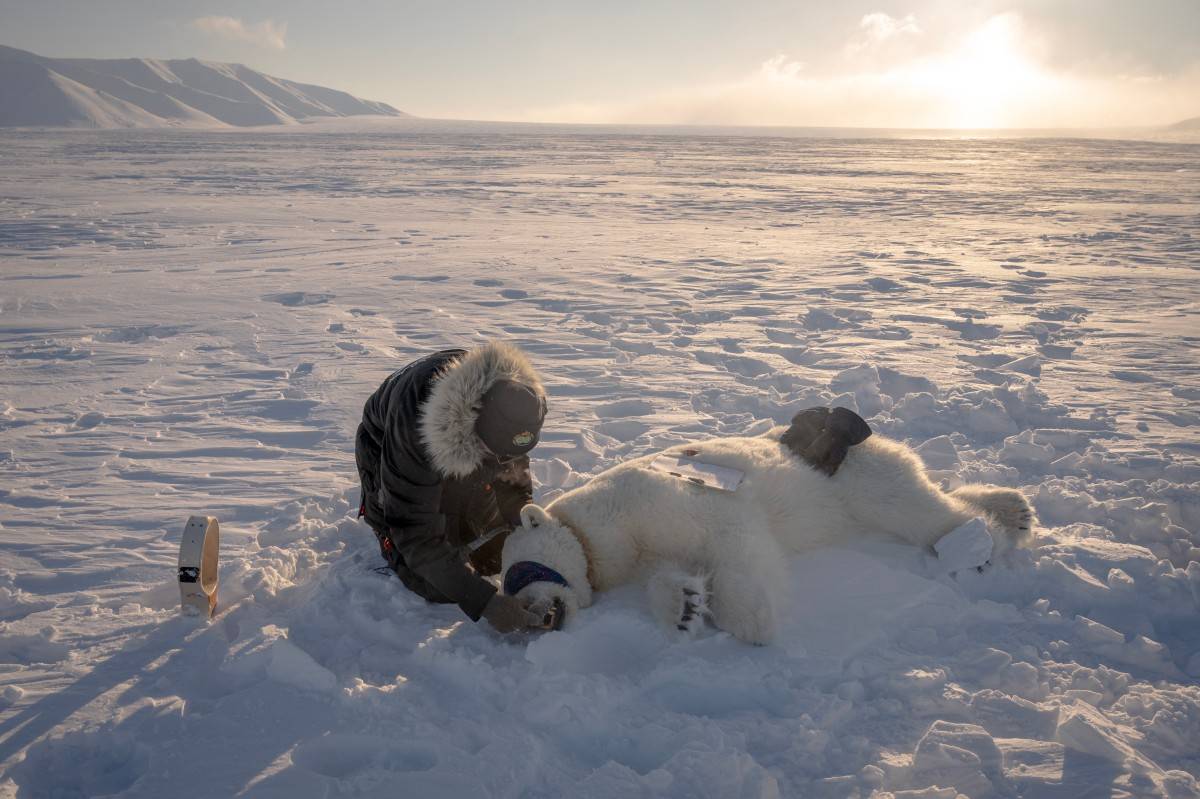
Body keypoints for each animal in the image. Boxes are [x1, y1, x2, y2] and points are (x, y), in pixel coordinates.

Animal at [500, 408, 1035, 645]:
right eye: (508, 586)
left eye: (515, 573)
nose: (538, 618)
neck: (599, 527)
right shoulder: (638, 549)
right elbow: (670, 572)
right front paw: (685, 608)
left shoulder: (657, 499)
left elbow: (735, 539)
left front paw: (750, 621)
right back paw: (1015, 509)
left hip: (852, 477)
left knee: (913, 508)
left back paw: (977, 543)